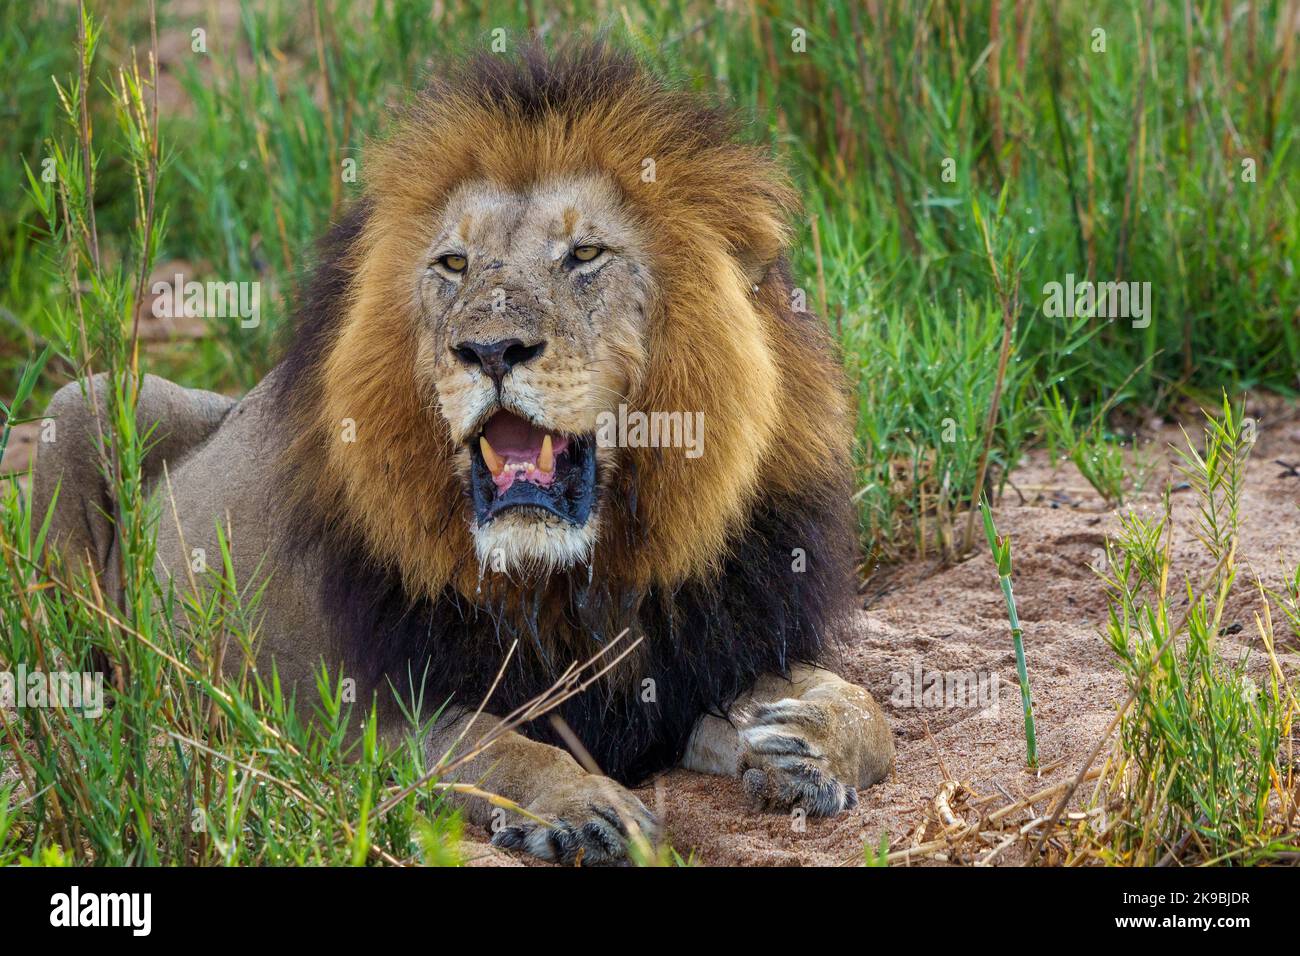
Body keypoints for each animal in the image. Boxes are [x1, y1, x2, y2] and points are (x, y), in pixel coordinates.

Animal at [33, 41, 894, 864]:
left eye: (585, 255)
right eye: (454, 264)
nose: (490, 349)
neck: (575, 577)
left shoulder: (702, 657)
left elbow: (870, 712)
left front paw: (806, 741)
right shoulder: (372, 716)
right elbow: (493, 746)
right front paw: (580, 806)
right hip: (77, 405)